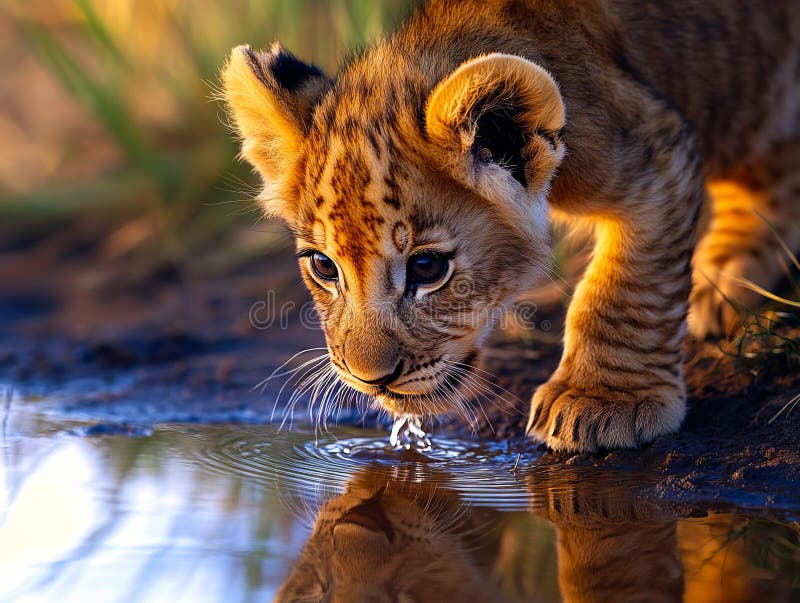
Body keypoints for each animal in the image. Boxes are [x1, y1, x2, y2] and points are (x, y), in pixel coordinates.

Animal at [222, 0, 800, 452]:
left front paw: (601, 402)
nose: (372, 380)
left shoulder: (650, 148)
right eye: (323, 266)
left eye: (427, 267)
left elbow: (626, 289)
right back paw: (726, 276)